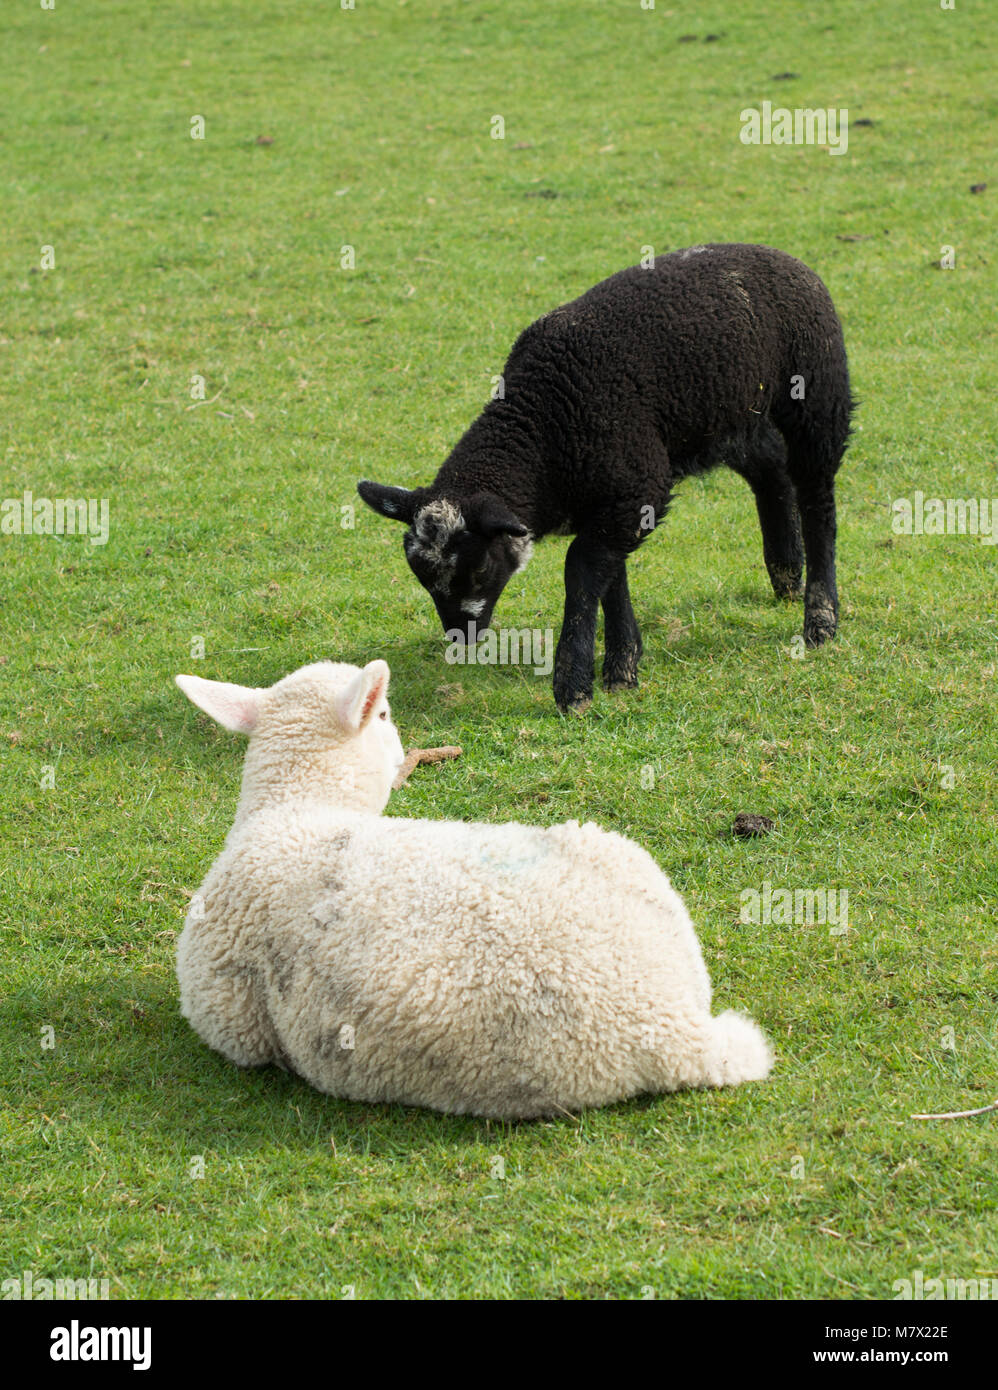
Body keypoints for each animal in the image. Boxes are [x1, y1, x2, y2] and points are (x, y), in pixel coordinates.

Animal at [357, 242, 854, 712]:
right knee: (770, 467)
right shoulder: (611, 498)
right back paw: (786, 574)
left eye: (478, 568)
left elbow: (581, 567)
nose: (461, 637)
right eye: (422, 576)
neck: (542, 426)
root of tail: (781, 257)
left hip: (816, 396)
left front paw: (574, 687)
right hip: (732, 416)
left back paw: (820, 619)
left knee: (817, 498)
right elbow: (610, 577)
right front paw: (622, 669)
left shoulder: (635, 488)